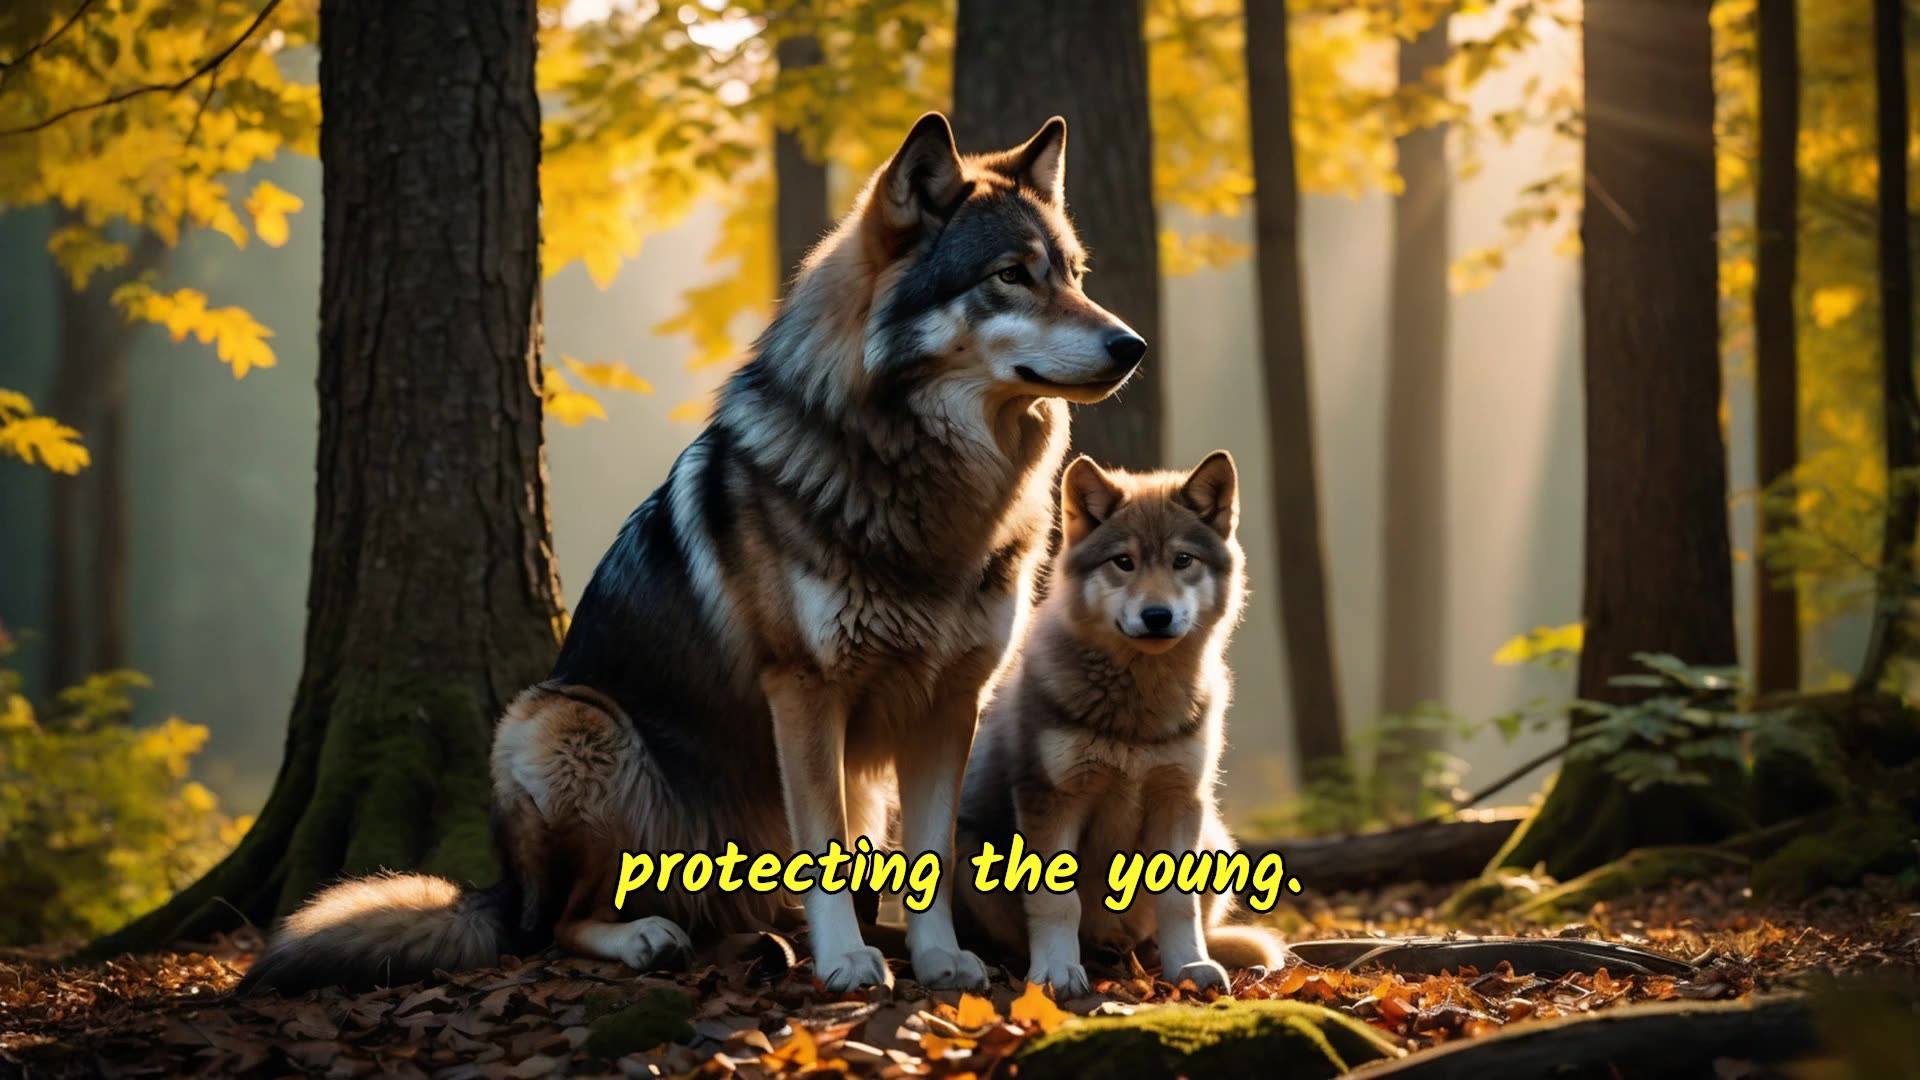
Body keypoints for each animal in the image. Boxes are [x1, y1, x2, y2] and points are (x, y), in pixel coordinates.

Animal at [239, 112, 1147, 995]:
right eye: (1011, 275)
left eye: (1073, 273)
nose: (1131, 345)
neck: (930, 487)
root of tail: (499, 884)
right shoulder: (803, 692)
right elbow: (825, 846)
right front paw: (847, 962)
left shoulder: (950, 703)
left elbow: (933, 855)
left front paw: (936, 960)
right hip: (570, 723)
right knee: (550, 928)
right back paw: (649, 937)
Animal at [954, 451, 1290, 995]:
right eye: (1124, 562)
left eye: (1182, 561)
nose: (1157, 615)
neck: (1139, 708)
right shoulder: (1052, 800)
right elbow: (1056, 904)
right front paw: (1056, 972)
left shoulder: (1178, 798)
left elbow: (1178, 903)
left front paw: (1189, 967)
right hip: (967, 849)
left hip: (1214, 835)